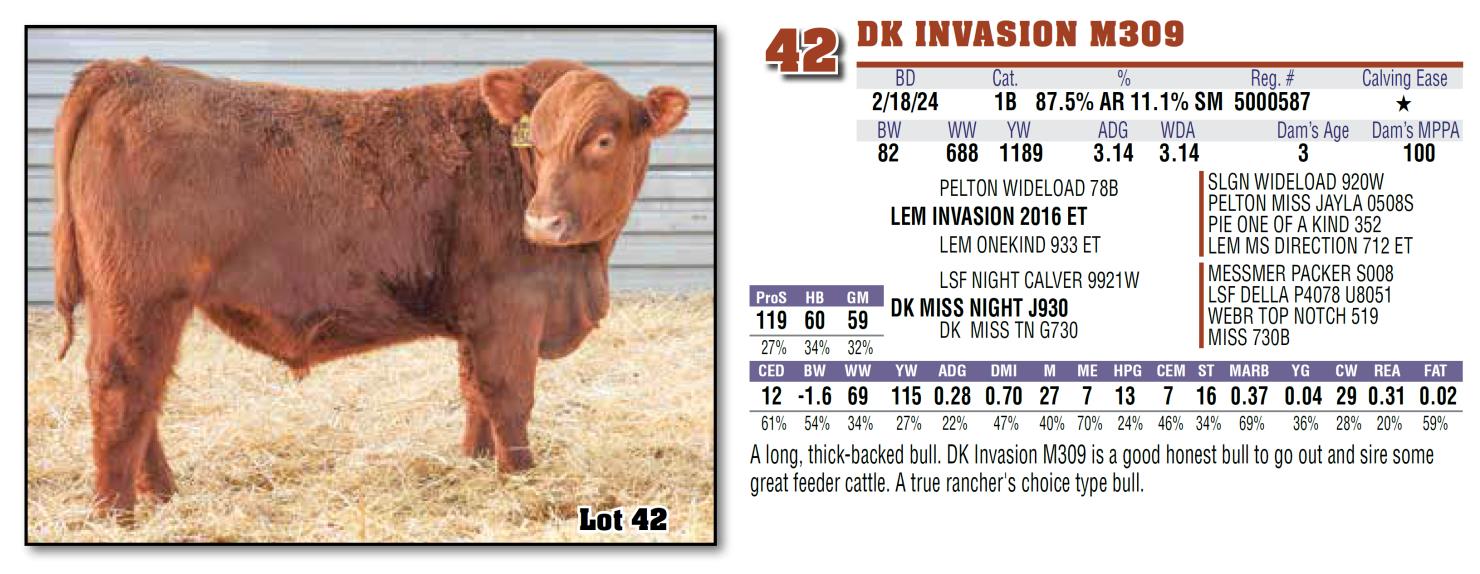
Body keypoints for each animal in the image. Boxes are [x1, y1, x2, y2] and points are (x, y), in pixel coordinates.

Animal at [50, 58, 690, 516]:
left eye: (602, 140)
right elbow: (509, 396)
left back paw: (163, 495)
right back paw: (115, 512)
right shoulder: (509, 309)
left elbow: (474, 393)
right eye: (537, 140)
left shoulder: (477, 317)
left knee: (147, 393)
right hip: (141, 297)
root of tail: (128, 70)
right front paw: (521, 479)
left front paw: (475, 465)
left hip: (140, 305)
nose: (542, 222)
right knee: (122, 387)